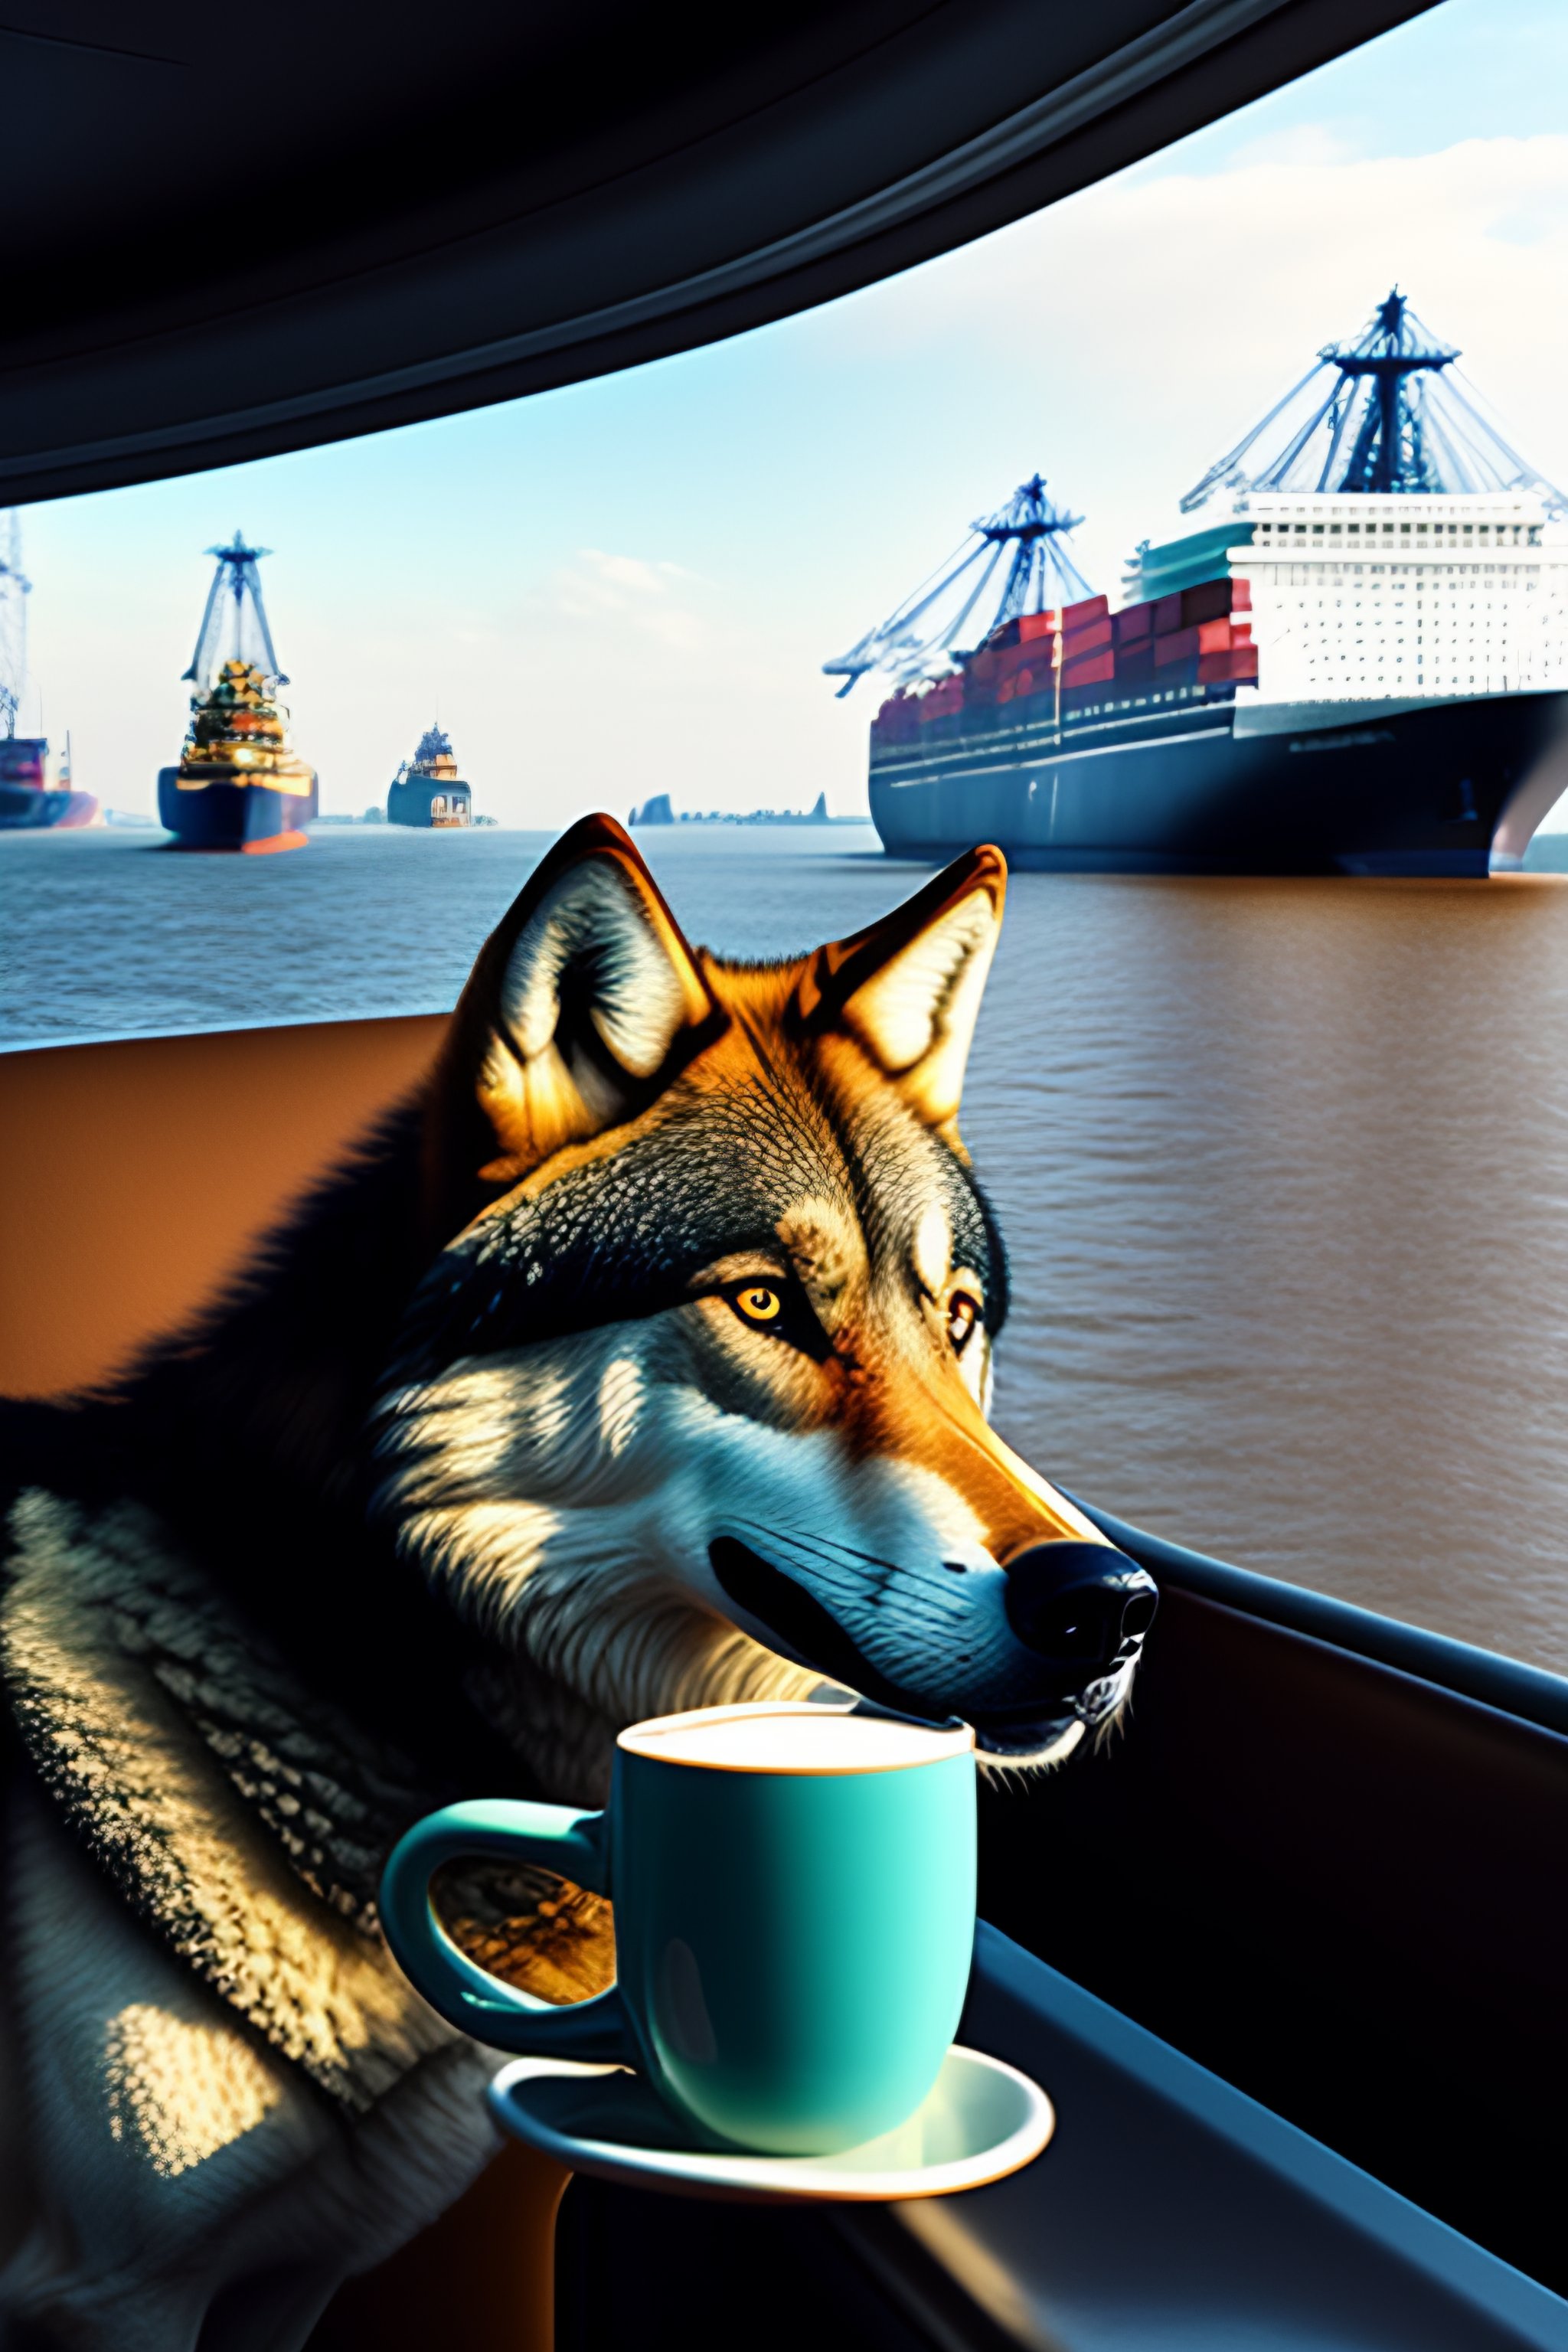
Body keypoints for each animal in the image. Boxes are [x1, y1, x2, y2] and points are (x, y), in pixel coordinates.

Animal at [0, 816, 1154, 2349]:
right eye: (765, 1303)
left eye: (956, 1319)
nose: (1109, 1604)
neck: (341, 1647)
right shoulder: (113, 2295)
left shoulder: (282, 2278)